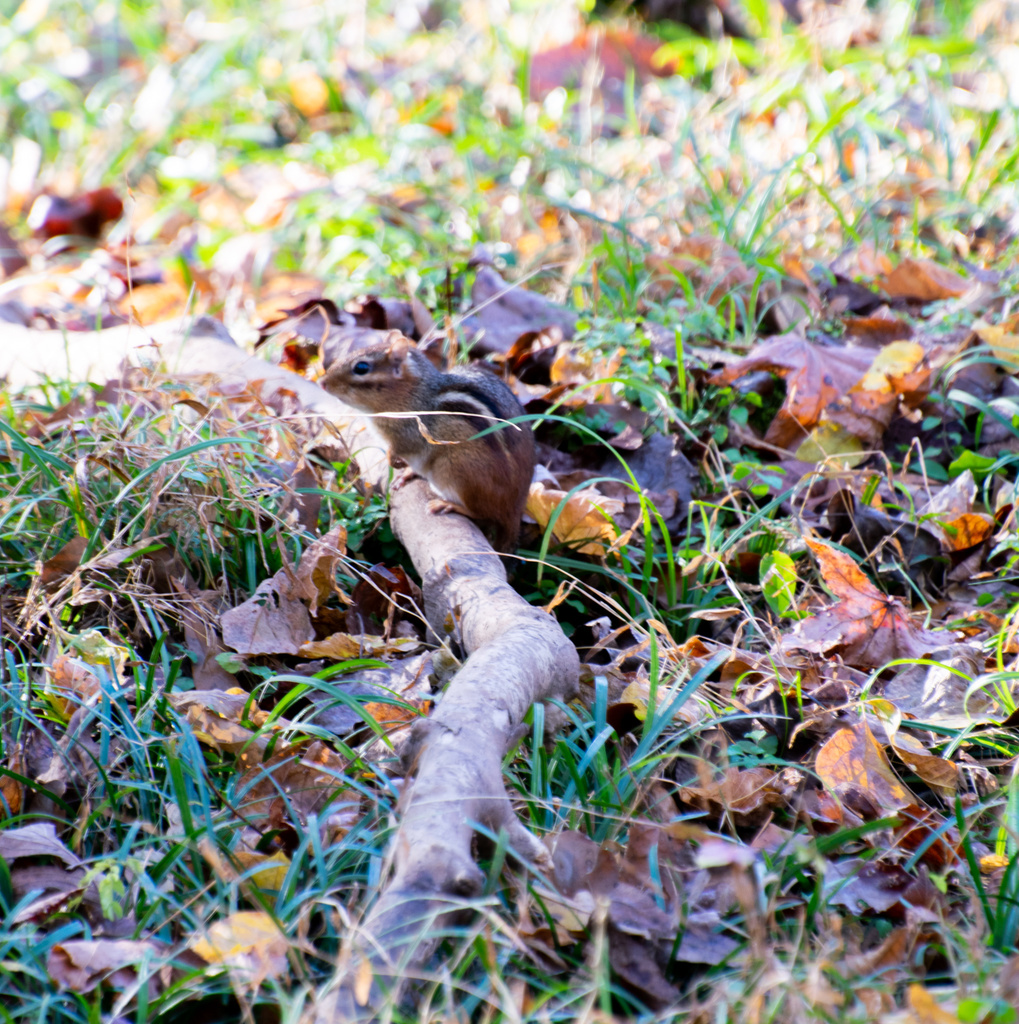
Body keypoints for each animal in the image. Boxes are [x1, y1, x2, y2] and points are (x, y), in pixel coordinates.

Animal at [320, 335, 535, 552]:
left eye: (361, 367)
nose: (322, 382)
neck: (413, 395)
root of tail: (515, 508)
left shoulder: (410, 434)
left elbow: (398, 449)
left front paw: (395, 461)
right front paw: (404, 470)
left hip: (454, 470)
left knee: (482, 512)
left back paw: (449, 505)